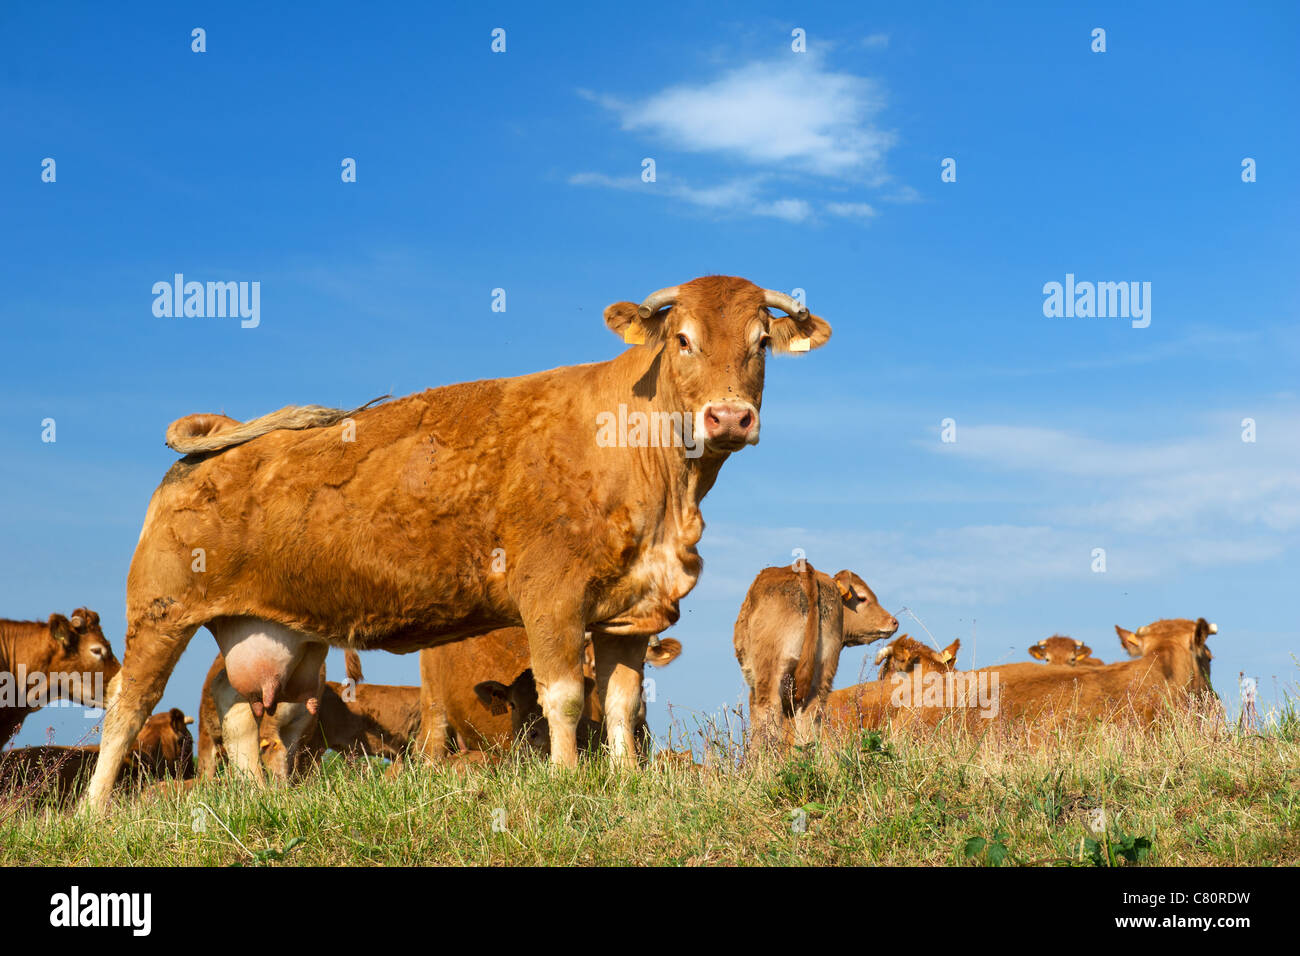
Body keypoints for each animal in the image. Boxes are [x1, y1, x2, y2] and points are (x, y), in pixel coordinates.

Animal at [86, 275, 831, 808]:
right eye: (681, 338)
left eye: (762, 341)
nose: (729, 416)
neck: (665, 483)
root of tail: (220, 440)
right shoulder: (552, 598)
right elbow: (564, 696)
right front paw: (567, 782)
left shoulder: (632, 610)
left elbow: (621, 703)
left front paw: (624, 783)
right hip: (160, 610)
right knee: (128, 705)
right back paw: (93, 811)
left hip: (273, 632)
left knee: (240, 706)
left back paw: (254, 801)